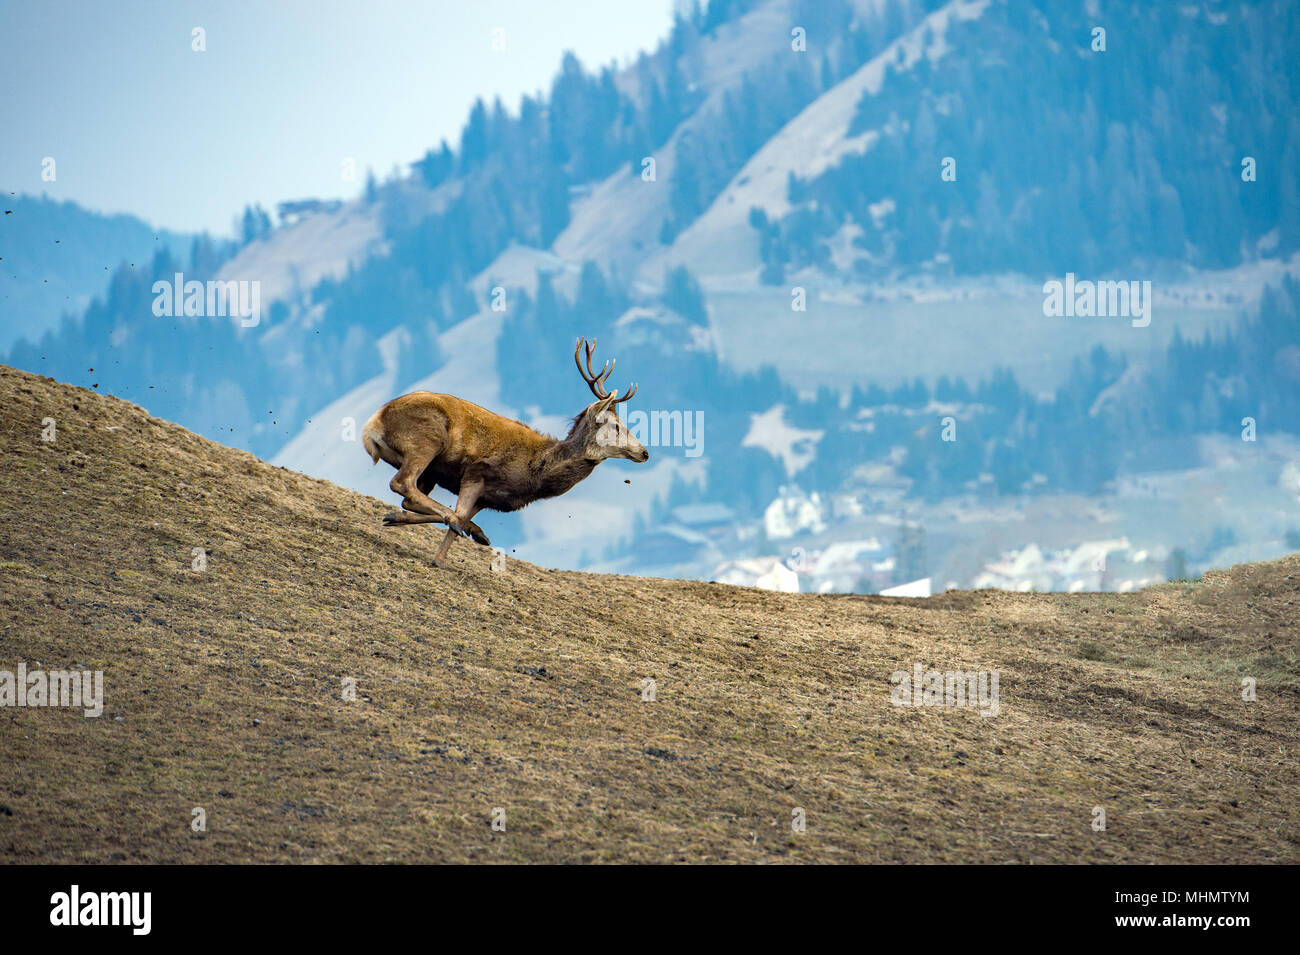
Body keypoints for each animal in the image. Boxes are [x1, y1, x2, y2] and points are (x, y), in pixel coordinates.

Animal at [362, 337, 649, 567]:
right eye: (615, 425)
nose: (645, 452)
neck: (535, 474)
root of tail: (372, 426)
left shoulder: (488, 499)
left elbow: (462, 515)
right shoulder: (477, 472)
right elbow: (460, 516)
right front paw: (440, 560)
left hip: (430, 470)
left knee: (410, 496)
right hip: (426, 440)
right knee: (402, 483)